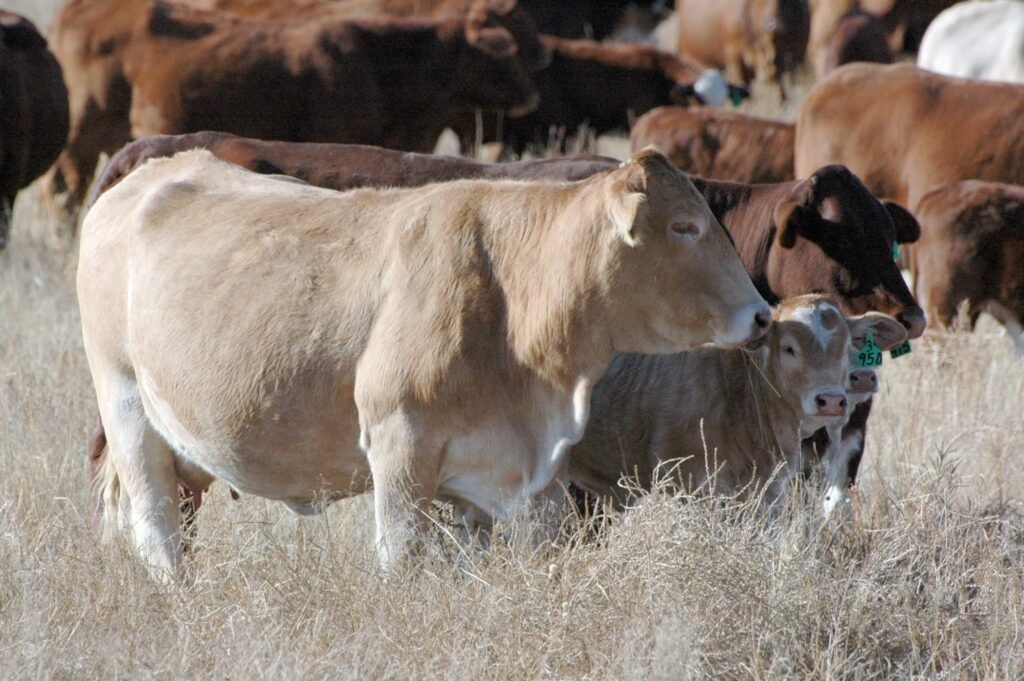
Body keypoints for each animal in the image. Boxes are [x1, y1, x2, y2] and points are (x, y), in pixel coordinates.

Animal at [79, 148, 770, 579]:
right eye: (684, 227)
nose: (763, 315)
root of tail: (142, 180)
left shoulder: (528, 481)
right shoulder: (400, 450)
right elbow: (401, 559)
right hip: (129, 412)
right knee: (158, 532)